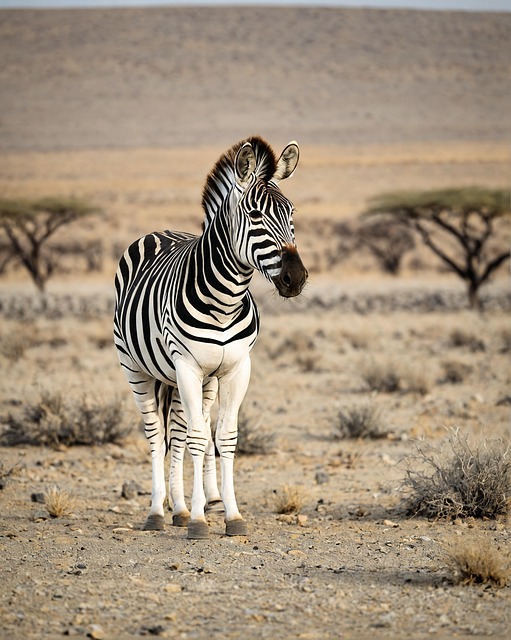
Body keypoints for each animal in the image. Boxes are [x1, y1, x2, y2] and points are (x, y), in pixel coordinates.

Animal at [113, 136, 307, 539]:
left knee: (181, 430)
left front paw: (230, 514)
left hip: (192, 380)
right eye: (255, 215)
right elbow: (198, 438)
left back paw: (182, 507)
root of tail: (159, 231)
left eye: (292, 213)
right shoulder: (187, 366)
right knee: (157, 434)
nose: (295, 279)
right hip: (135, 367)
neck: (225, 301)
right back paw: (158, 511)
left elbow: (222, 437)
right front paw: (200, 522)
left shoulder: (235, 368)